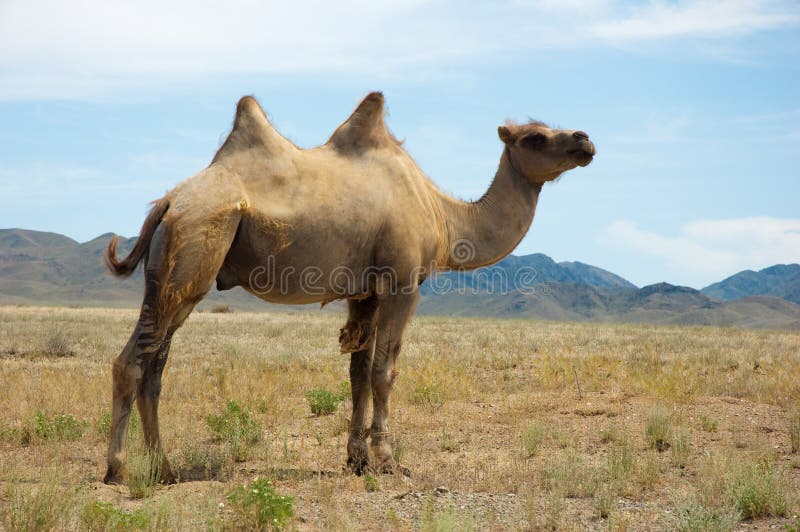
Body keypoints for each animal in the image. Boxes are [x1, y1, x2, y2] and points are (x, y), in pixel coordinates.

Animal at [102, 92, 595, 484]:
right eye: (535, 138)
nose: (584, 140)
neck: (442, 215)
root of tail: (168, 201)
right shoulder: (402, 282)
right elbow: (383, 371)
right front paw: (388, 461)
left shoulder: (366, 291)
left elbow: (357, 373)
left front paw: (357, 460)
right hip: (194, 247)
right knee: (131, 361)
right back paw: (119, 469)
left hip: (174, 271)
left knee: (156, 366)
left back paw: (164, 469)